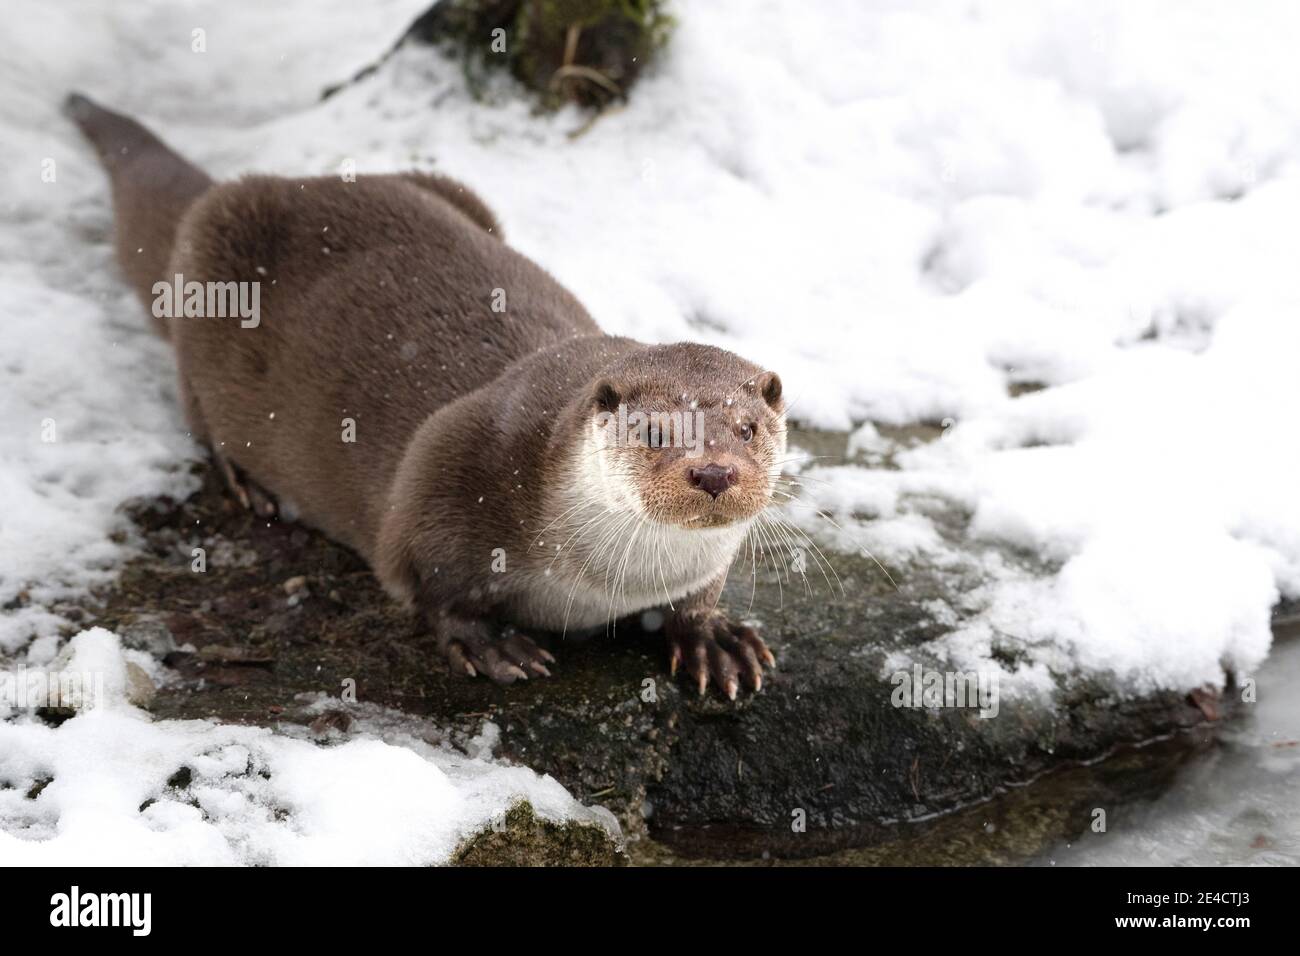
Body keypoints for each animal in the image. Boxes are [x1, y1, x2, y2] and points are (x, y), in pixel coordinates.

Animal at [66, 93, 782, 697]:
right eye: (656, 431)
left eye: (747, 429)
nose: (714, 472)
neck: (604, 585)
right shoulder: (448, 467)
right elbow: (431, 582)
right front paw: (493, 644)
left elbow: (696, 600)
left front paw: (714, 635)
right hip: (206, 271)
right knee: (196, 405)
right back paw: (250, 484)